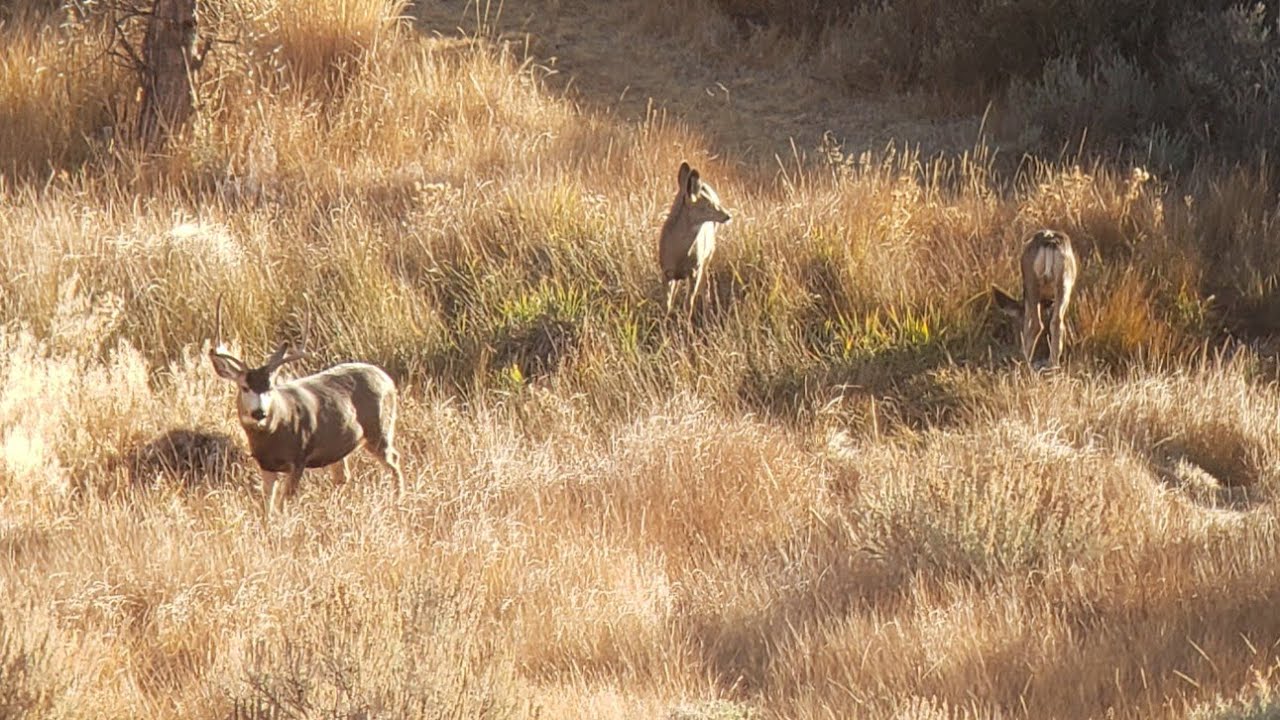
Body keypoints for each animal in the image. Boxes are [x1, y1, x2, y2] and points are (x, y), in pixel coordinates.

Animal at [207, 296, 405, 517]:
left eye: (271, 387)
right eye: (245, 387)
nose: (260, 412)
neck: (273, 432)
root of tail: (387, 379)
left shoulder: (299, 457)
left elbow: (283, 502)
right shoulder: (266, 464)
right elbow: (267, 504)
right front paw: (268, 522)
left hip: (379, 428)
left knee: (394, 460)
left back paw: (398, 501)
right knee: (343, 476)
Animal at [658, 161, 732, 322]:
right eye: (708, 204)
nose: (728, 215)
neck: (679, 255)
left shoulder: (694, 270)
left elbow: (688, 304)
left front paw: (686, 325)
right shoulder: (666, 271)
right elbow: (667, 305)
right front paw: (664, 324)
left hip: (708, 255)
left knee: (706, 284)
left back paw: (708, 314)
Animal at [991, 229, 1079, 370]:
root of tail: (1050, 242)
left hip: (1032, 282)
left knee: (1036, 324)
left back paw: (1023, 360)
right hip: (1064, 280)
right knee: (1057, 322)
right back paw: (1053, 363)